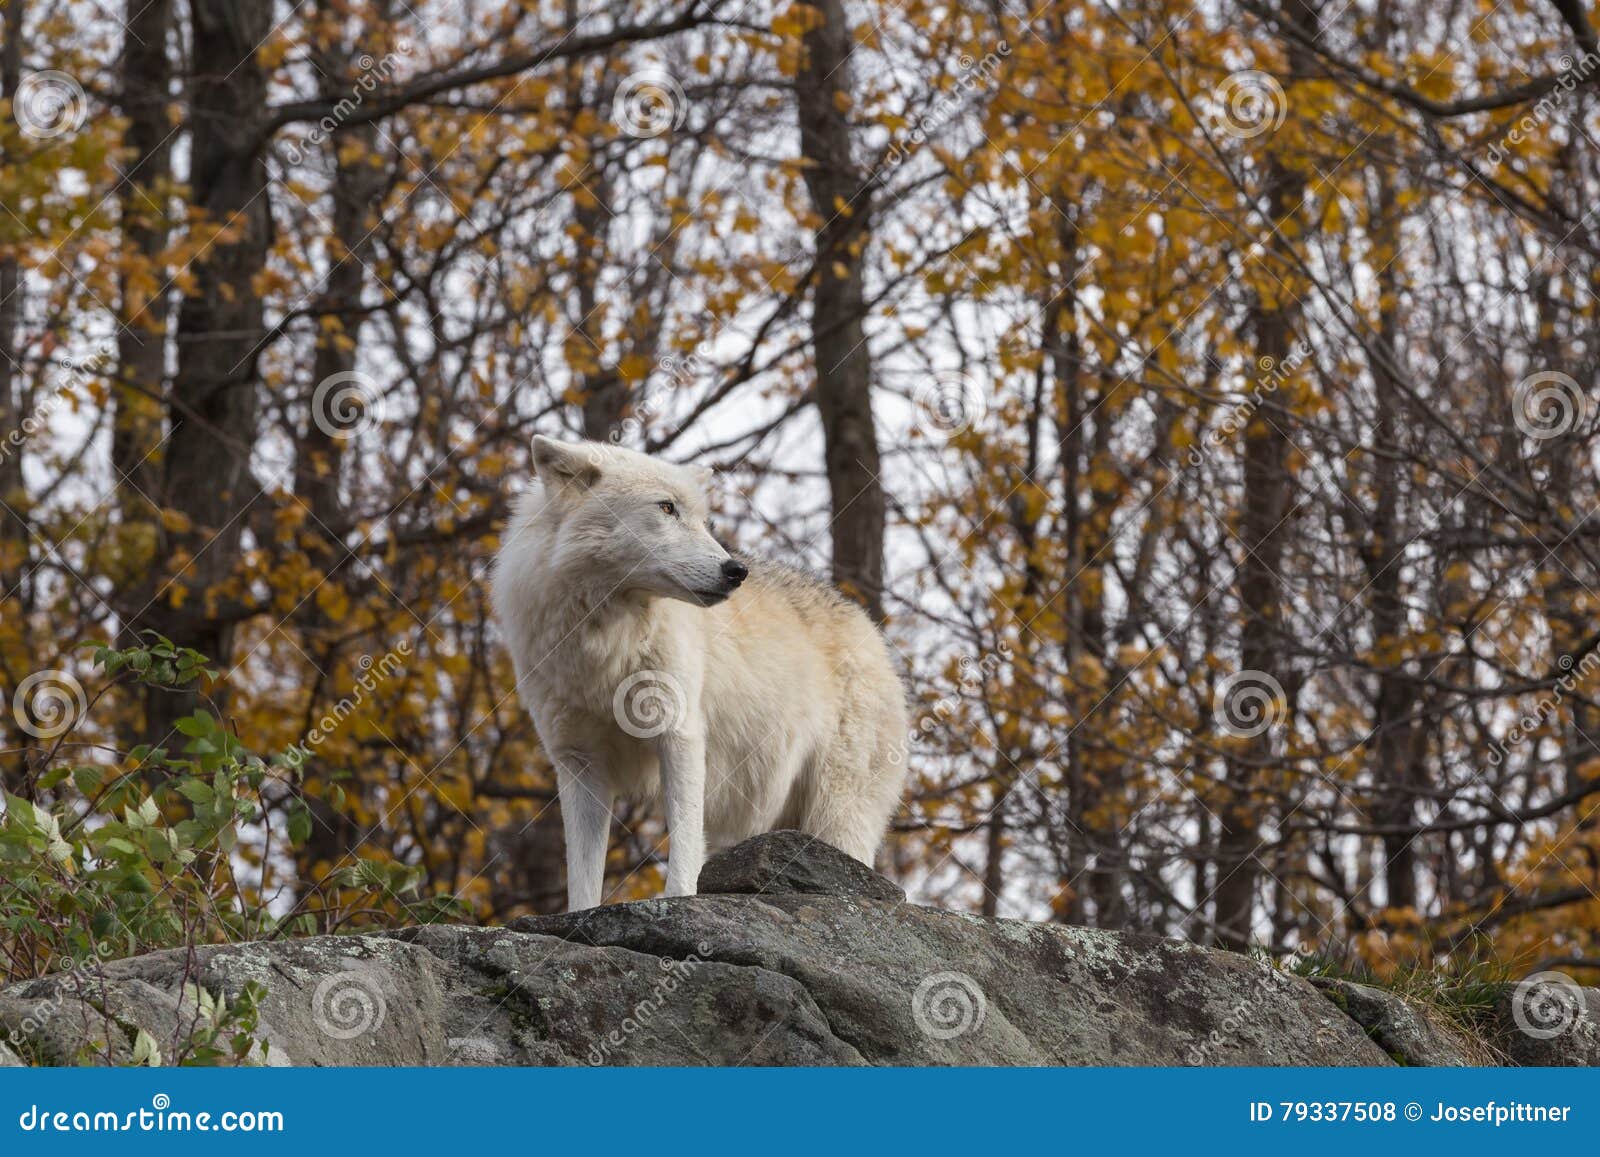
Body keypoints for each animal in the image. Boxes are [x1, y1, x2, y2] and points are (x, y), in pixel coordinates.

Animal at [491, 436, 909, 911]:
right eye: (667, 507)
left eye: (703, 520)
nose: (736, 571)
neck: (606, 640)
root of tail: (869, 627)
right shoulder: (579, 762)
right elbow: (582, 874)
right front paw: (581, 915)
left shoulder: (680, 734)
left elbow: (685, 839)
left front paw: (676, 900)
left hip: (835, 813)